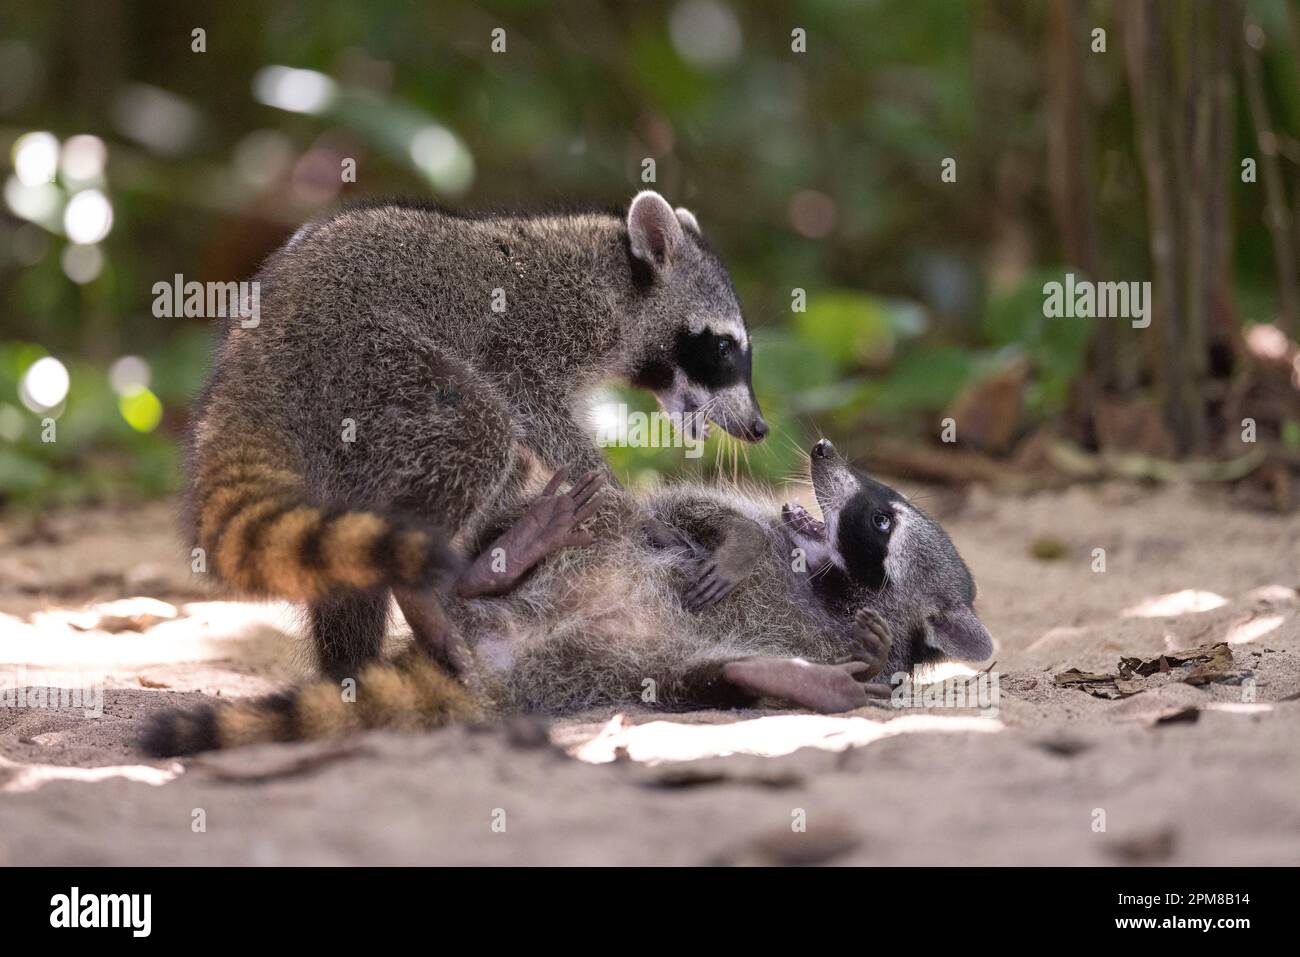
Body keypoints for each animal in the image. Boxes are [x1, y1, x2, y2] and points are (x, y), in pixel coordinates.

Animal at [143, 440, 992, 755]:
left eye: (882, 517)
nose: (821, 447)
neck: (830, 581)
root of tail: (488, 658)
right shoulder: (736, 519)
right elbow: (689, 506)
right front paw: (740, 544)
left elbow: (877, 655)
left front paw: (869, 652)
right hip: (574, 545)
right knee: (612, 510)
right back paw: (486, 570)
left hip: (616, 666)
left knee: (702, 672)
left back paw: (774, 676)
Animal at [184, 190, 766, 680]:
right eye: (722, 348)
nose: (759, 427)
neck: (620, 283)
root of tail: (255, 356)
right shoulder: (548, 326)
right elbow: (529, 402)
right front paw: (635, 512)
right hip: (364, 357)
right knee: (482, 425)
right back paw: (440, 587)